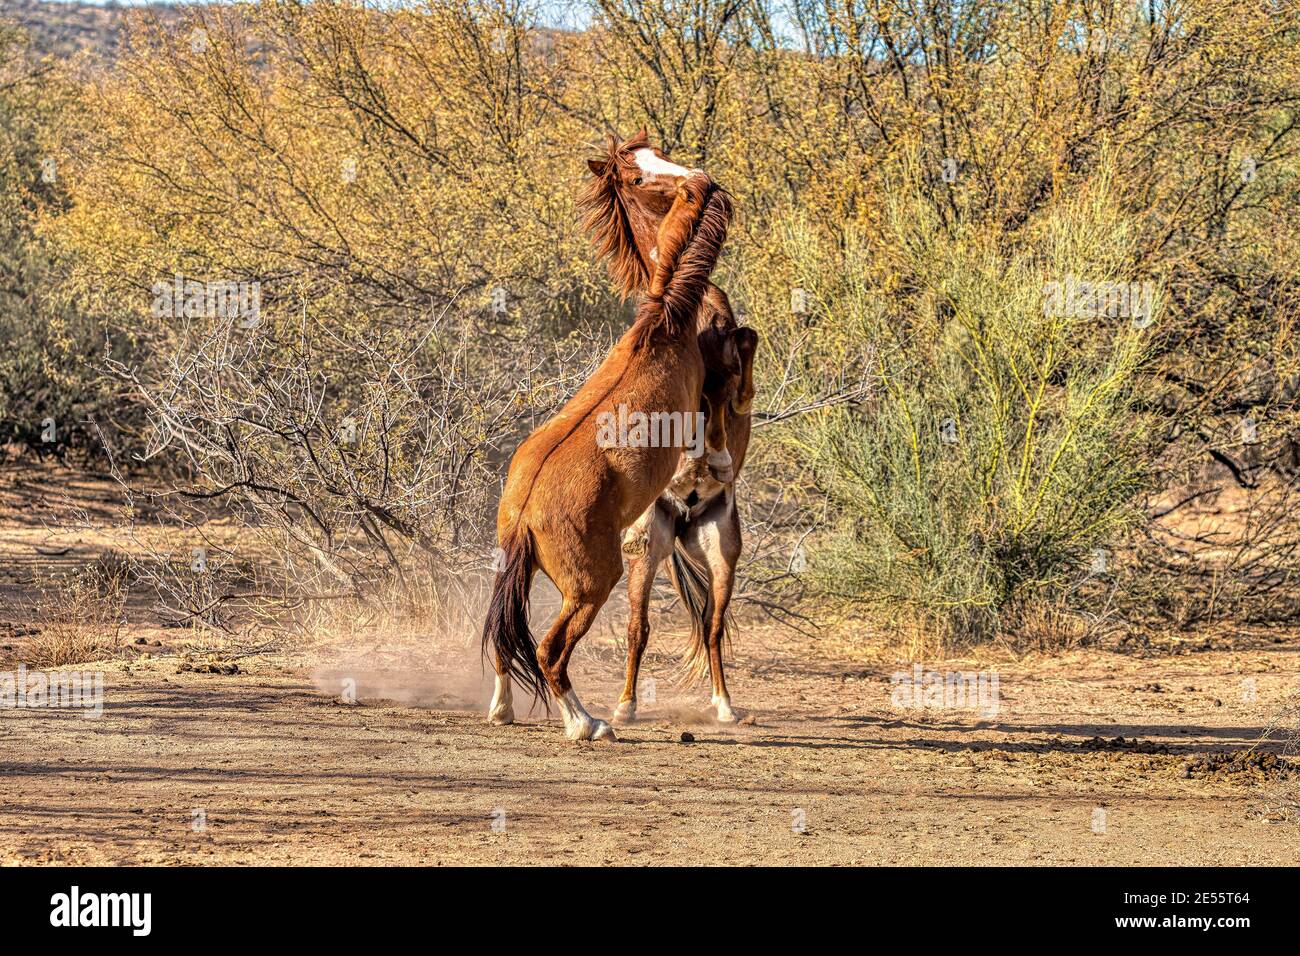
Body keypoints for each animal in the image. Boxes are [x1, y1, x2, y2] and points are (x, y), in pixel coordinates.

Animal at [481, 170, 737, 741]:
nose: (706, 180)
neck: (661, 328)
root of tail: (525, 513)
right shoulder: (703, 395)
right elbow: (714, 418)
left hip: (521, 575)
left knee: (504, 640)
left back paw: (504, 709)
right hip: (592, 588)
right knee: (549, 653)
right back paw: (587, 723)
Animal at [578, 129, 758, 725]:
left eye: (660, 152)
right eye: (636, 175)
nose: (699, 179)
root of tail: (682, 520)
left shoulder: (730, 340)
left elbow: (742, 352)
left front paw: (722, 449)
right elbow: (706, 403)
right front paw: (708, 453)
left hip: (722, 549)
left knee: (713, 625)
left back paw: (725, 705)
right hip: (644, 551)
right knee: (639, 628)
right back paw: (626, 707)